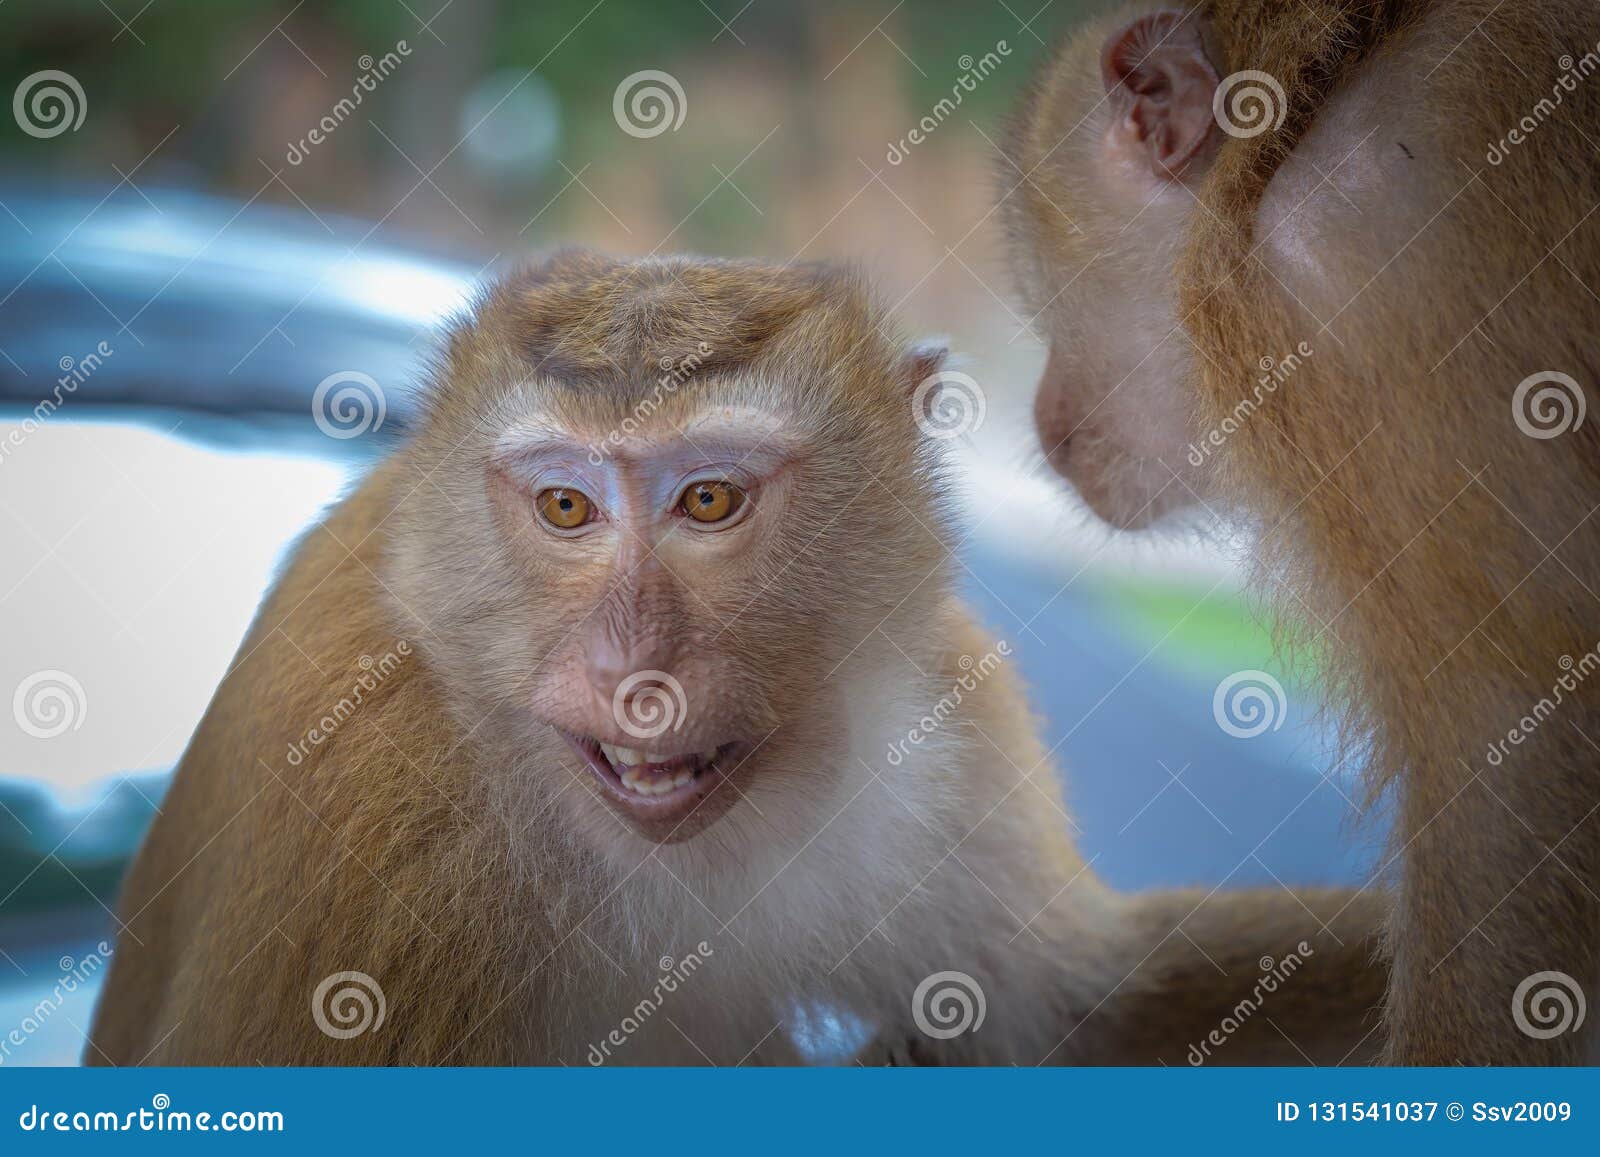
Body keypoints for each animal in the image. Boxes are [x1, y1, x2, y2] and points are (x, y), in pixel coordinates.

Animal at [87, 251, 1385, 1066]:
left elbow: (1073, 1015)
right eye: (565, 506)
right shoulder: (379, 824)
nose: (634, 670)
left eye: (707, 499)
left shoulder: (939, 725)